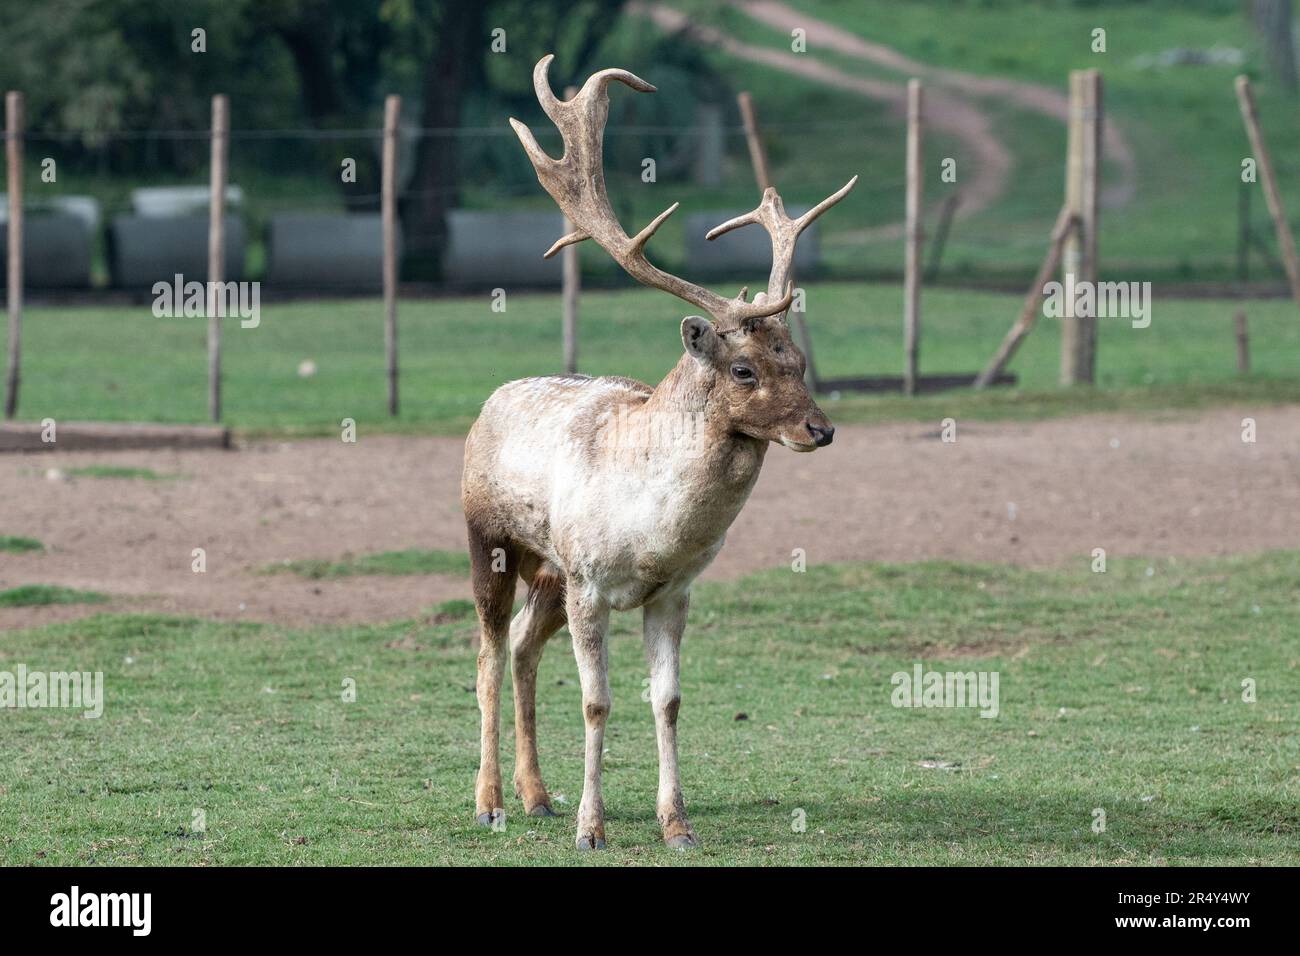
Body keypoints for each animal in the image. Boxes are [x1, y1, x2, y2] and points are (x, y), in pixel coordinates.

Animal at [461, 54, 856, 850]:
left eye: (798, 359)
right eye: (744, 370)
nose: (821, 430)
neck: (650, 530)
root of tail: (491, 402)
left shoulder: (673, 590)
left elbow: (667, 700)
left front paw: (676, 823)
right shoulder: (588, 581)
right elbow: (596, 703)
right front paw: (593, 829)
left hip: (547, 571)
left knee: (519, 646)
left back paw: (535, 795)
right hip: (489, 537)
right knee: (485, 654)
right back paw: (488, 801)